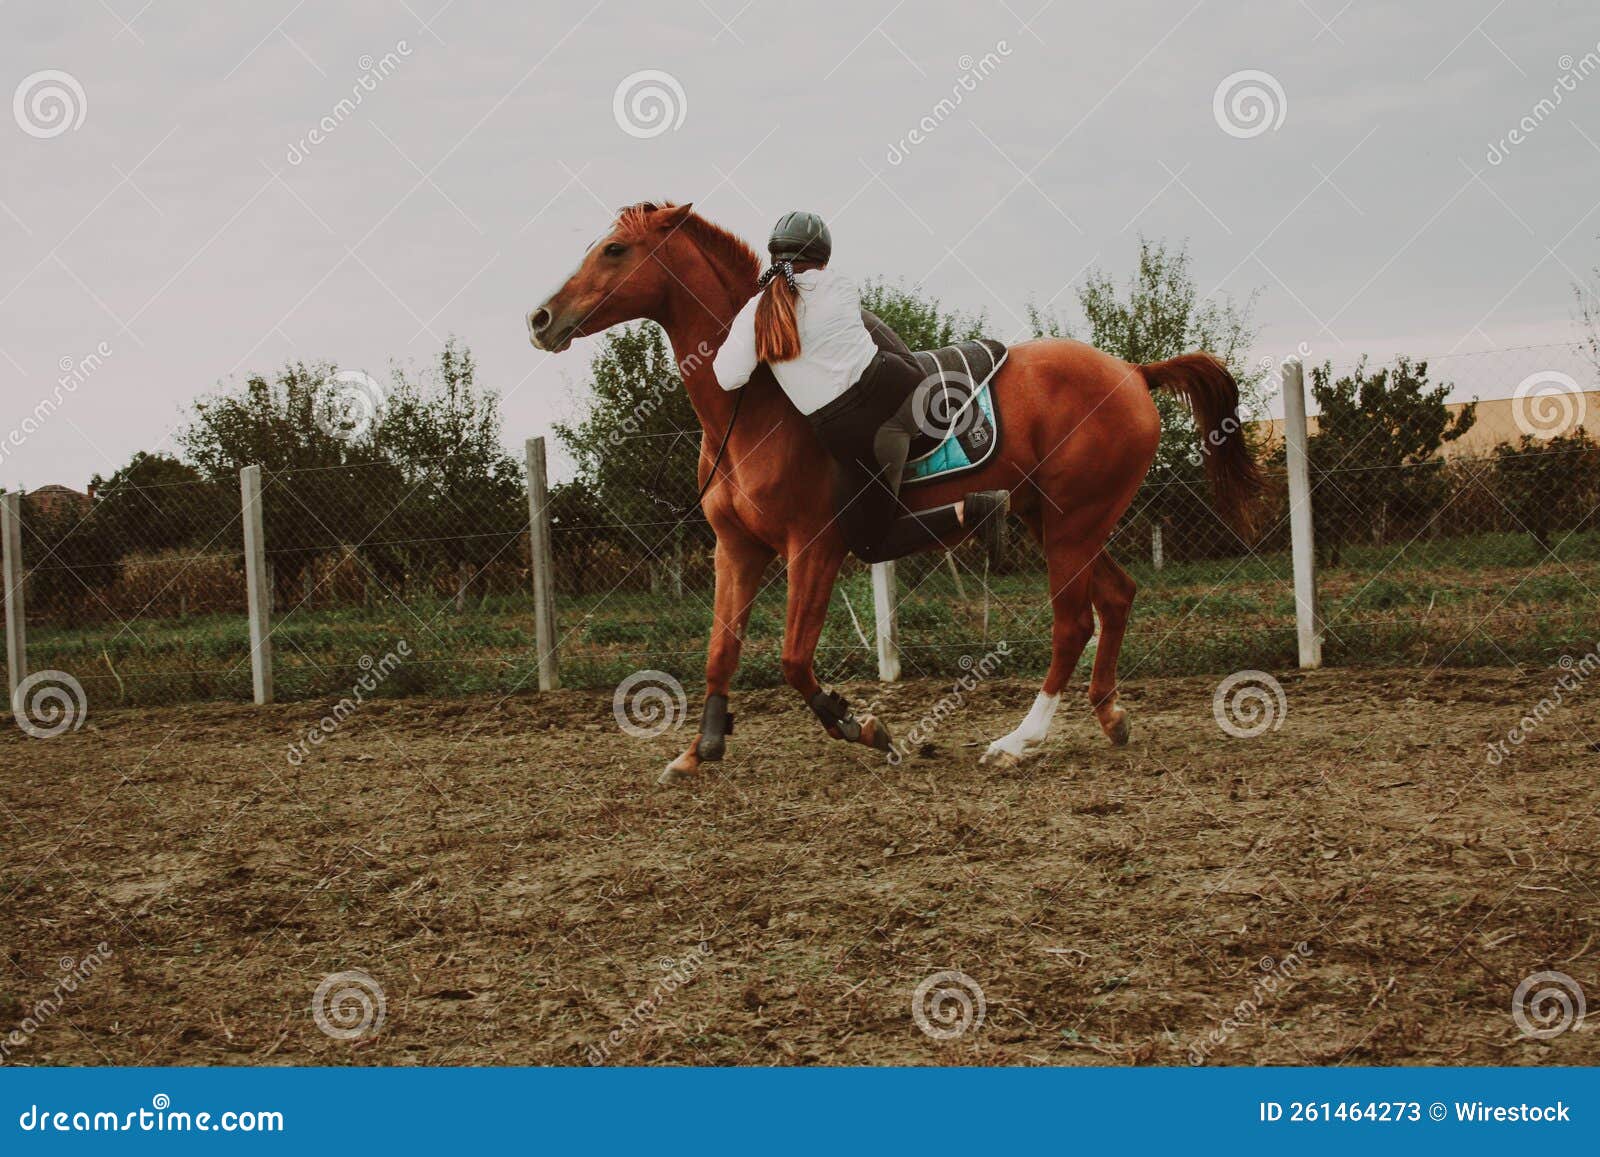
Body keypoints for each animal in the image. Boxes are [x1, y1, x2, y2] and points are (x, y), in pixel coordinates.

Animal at [527, 201, 1263, 784]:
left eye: (614, 249)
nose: (540, 317)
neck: (757, 402)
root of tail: (1133, 371)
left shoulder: (814, 548)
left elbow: (794, 660)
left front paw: (862, 725)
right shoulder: (736, 549)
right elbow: (720, 651)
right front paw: (699, 749)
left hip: (1071, 525)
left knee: (1073, 623)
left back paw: (1019, 741)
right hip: (1062, 523)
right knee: (1116, 597)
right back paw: (1108, 715)